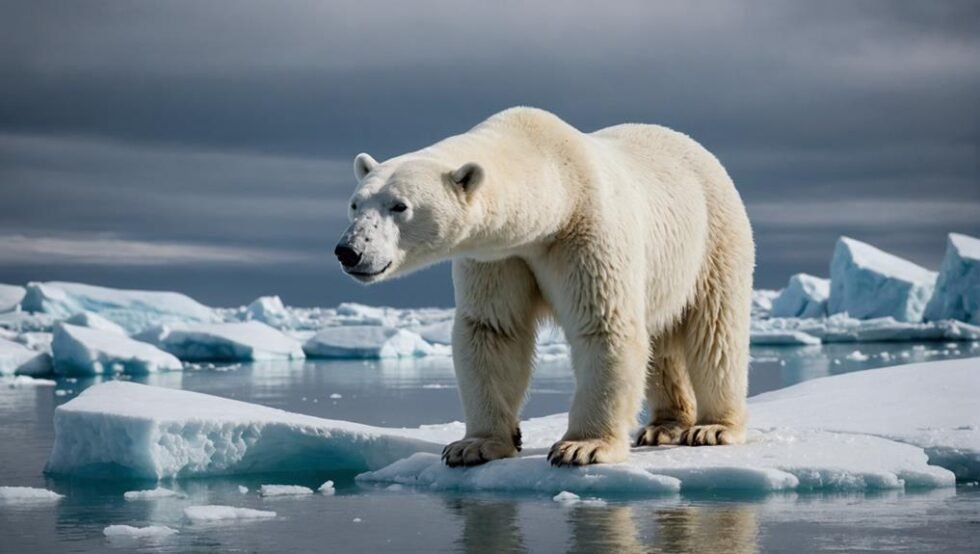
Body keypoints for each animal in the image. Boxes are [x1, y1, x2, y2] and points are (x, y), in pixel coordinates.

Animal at [335, 107, 754, 467]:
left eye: (399, 206)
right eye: (355, 204)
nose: (348, 251)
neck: (556, 191)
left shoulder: (585, 233)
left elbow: (603, 324)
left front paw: (582, 447)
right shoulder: (498, 257)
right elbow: (492, 330)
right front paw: (474, 445)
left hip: (714, 237)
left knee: (715, 332)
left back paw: (713, 427)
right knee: (663, 341)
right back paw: (663, 426)